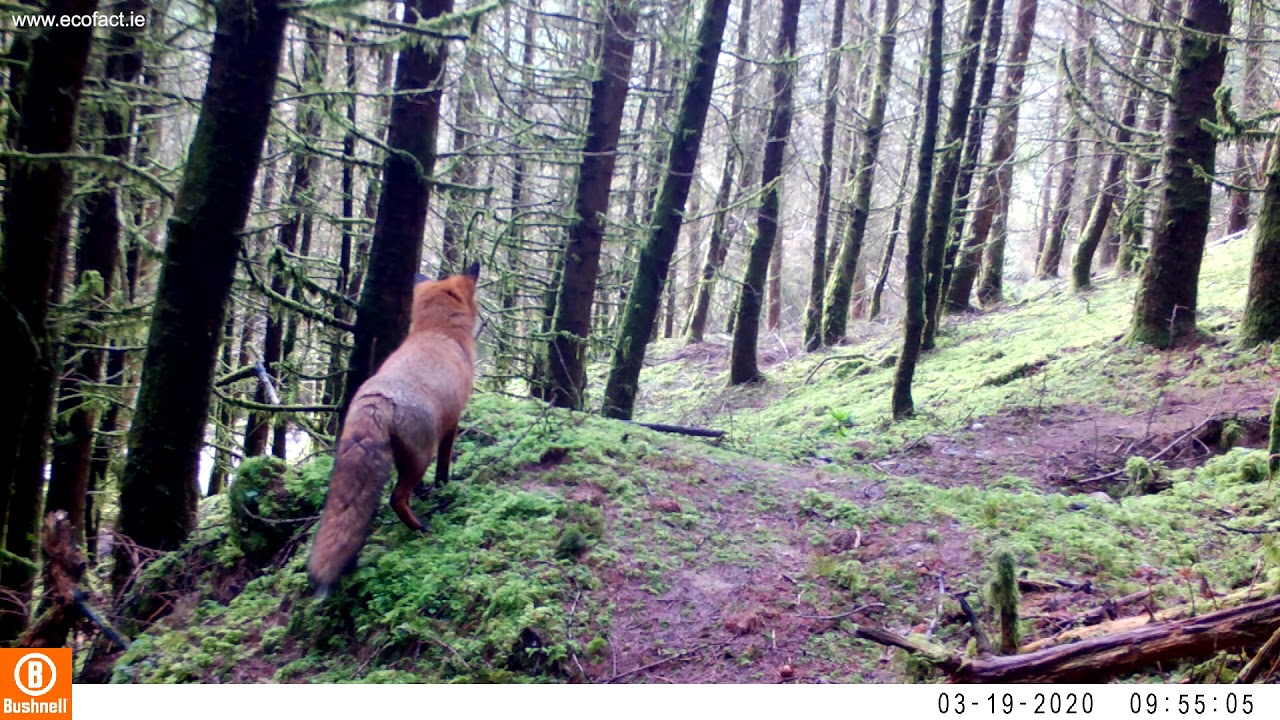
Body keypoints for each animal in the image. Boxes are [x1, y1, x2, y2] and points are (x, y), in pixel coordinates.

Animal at [307, 262, 481, 595]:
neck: (437, 332)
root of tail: (378, 398)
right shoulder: (452, 421)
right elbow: (445, 462)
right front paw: (444, 485)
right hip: (420, 455)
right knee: (396, 498)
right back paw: (420, 527)